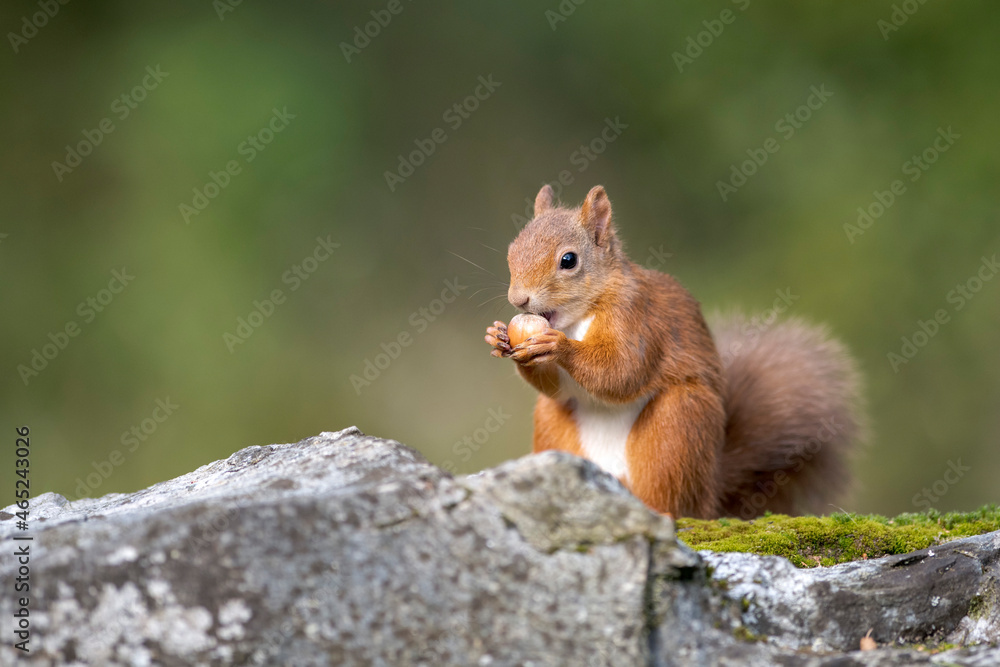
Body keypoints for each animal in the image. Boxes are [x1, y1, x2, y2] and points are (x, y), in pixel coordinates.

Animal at [484, 184, 865, 519]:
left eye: (568, 260)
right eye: (511, 250)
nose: (519, 298)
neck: (579, 317)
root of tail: (710, 494)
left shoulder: (638, 319)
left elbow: (621, 371)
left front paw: (557, 346)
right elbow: (557, 386)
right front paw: (498, 336)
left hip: (678, 424)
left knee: (673, 498)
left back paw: (661, 513)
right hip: (552, 424)